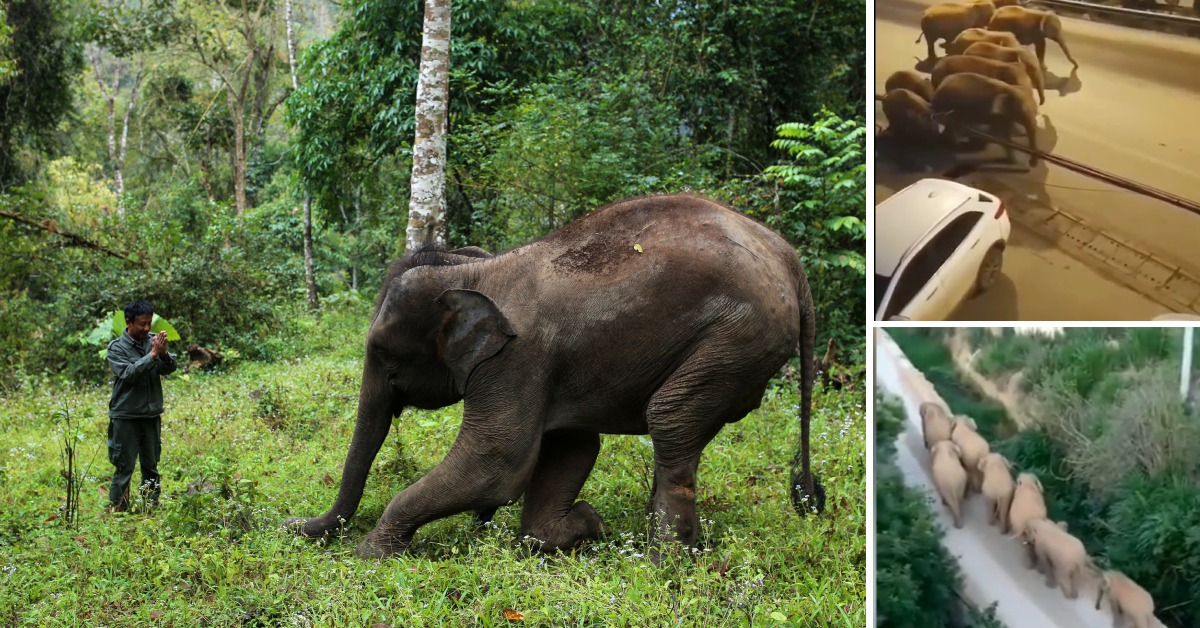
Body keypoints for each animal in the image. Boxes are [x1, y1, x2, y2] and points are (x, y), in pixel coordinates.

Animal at [282, 194, 825, 560]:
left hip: (737, 337)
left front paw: (371, 553)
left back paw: (663, 562)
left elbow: (495, 462)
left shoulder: (516, 359)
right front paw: (583, 526)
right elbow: (571, 445)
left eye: (384, 354)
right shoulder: (550, 368)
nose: (290, 523)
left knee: (669, 419)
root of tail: (788, 255)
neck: (477, 271)